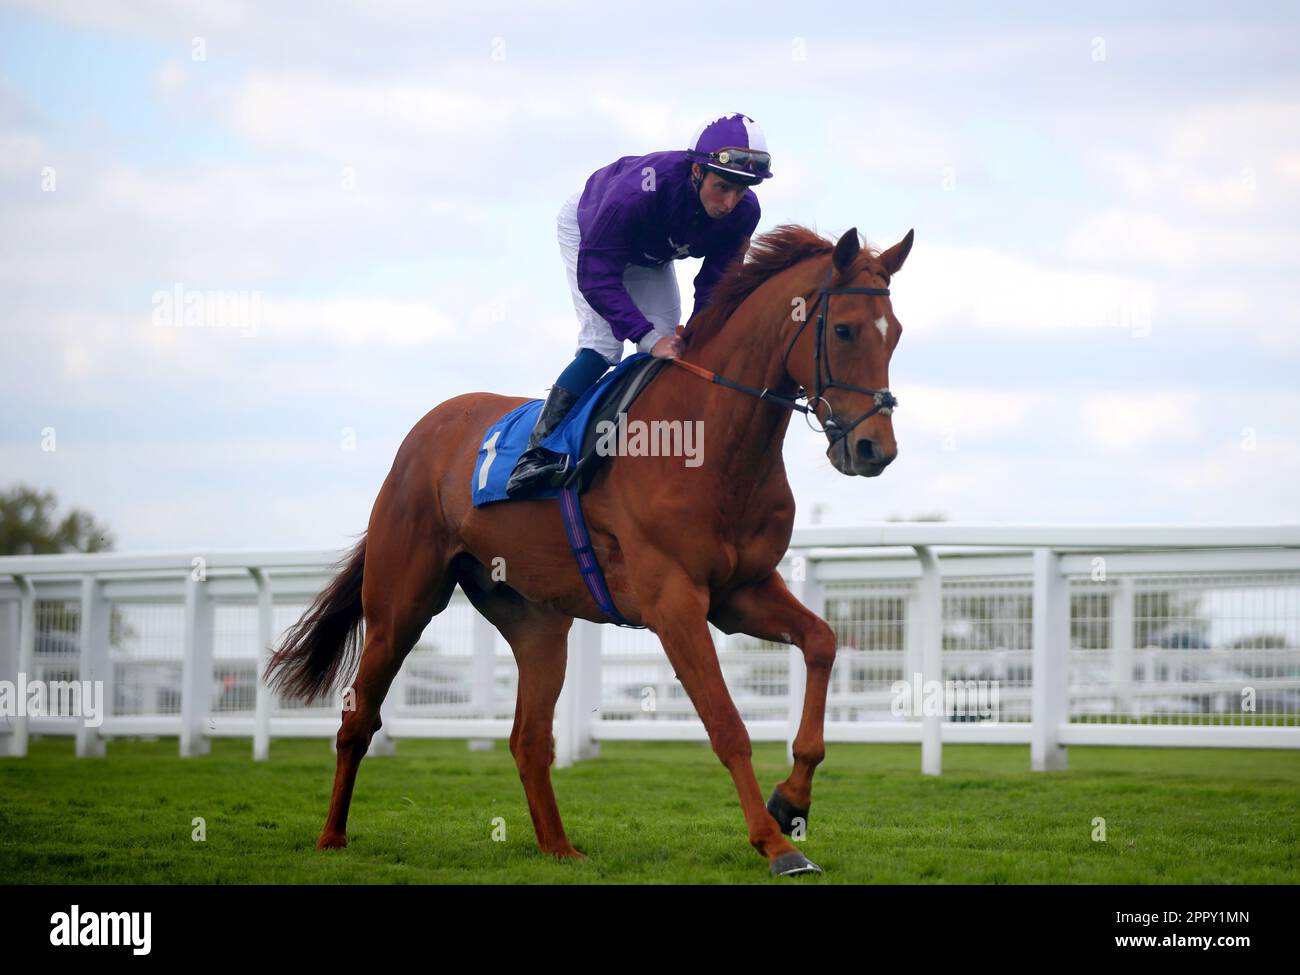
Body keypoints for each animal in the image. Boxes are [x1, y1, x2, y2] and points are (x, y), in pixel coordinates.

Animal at [265, 222, 913, 877]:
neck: (708, 440)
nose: (873, 449)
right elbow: (727, 725)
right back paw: (331, 838)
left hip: (536, 623)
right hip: (400, 605)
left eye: (897, 333)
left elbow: (823, 643)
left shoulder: (742, 593)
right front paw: (776, 845)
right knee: (358, 719)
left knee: (528, 739)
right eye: (844, 329)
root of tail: (425, 432)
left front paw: (792, 801)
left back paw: (559, 846)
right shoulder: (674, 603)